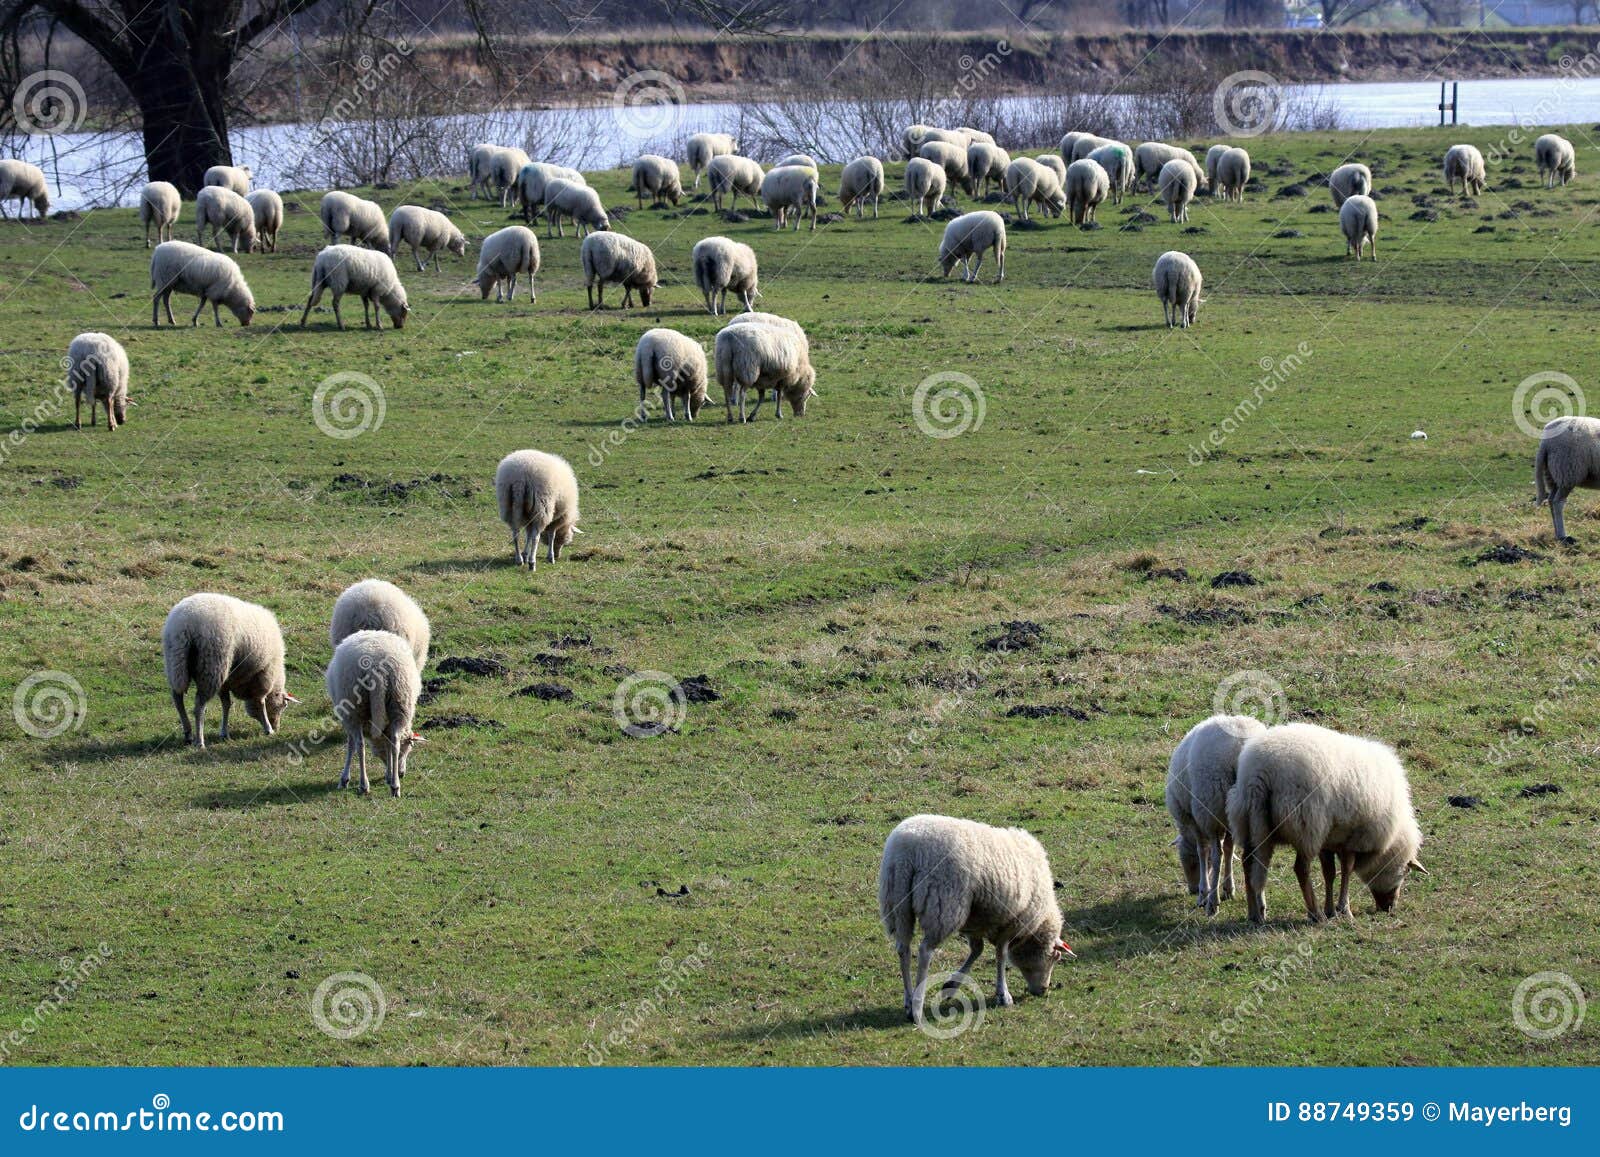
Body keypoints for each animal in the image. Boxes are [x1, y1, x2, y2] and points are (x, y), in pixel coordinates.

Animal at [162, 592, 297, 749]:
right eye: (284, 705)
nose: (277, 727)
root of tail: (184, 623)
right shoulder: (264, 675)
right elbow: (261, 702)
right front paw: (268, 729)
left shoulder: (227, 680)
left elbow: (226, 704)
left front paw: (224, 732)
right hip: (212, 665)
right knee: (199, 706)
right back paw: (200, 741)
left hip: (175, 661)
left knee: (177, 698)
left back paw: (188, 734)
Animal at [325, 629, 423, 798]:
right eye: (408, 747)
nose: (401, 773)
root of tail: (376, 667)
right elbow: (389, 746)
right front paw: (390, 775)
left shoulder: (347, 719)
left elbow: (350, 745)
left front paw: (344, 779)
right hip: (400, 702)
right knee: (394, 741)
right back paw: (395, 786)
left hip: (354, 707)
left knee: (360, 744)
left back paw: (364, 785)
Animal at [878, 814, 1074, 1025]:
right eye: (1055, 957)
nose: (1043, 990)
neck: (1035, 927)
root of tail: (906, 851)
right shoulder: (1010, 922)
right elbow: (1001, 955)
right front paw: (1003, 994)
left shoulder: (976, 921)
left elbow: (977, 950)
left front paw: (952, 985)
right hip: (943, 904)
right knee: (925, 952)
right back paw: (917, 1007)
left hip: (897, 903)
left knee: (903, 949)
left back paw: (908, 1001)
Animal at [1165, 715, 1266, 915]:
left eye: (1186, 860)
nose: (1192, 889)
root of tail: (1240, 747)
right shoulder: (1228, 821)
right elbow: (1229, 849)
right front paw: (1228, 888)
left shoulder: (1195, 819)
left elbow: (1204, 852)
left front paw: (1204, 893)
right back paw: (1261, 905)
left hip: (1210, 804)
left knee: (1216, 855)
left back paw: (1212, 902)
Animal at [1228, 722, 1427, 923]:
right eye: (1405, 872)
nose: (1389, 908)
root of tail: (1259, 773)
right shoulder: (1353, 837)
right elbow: (1346, 870)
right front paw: (1344, 909)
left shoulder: (1330, 838)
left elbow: (1329, 873)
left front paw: (1331, 909)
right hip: (1307, 826)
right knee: (1301, 869)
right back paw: (1316, 914)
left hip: (1249, 821)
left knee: (1247, 862)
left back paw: (1254, 913)